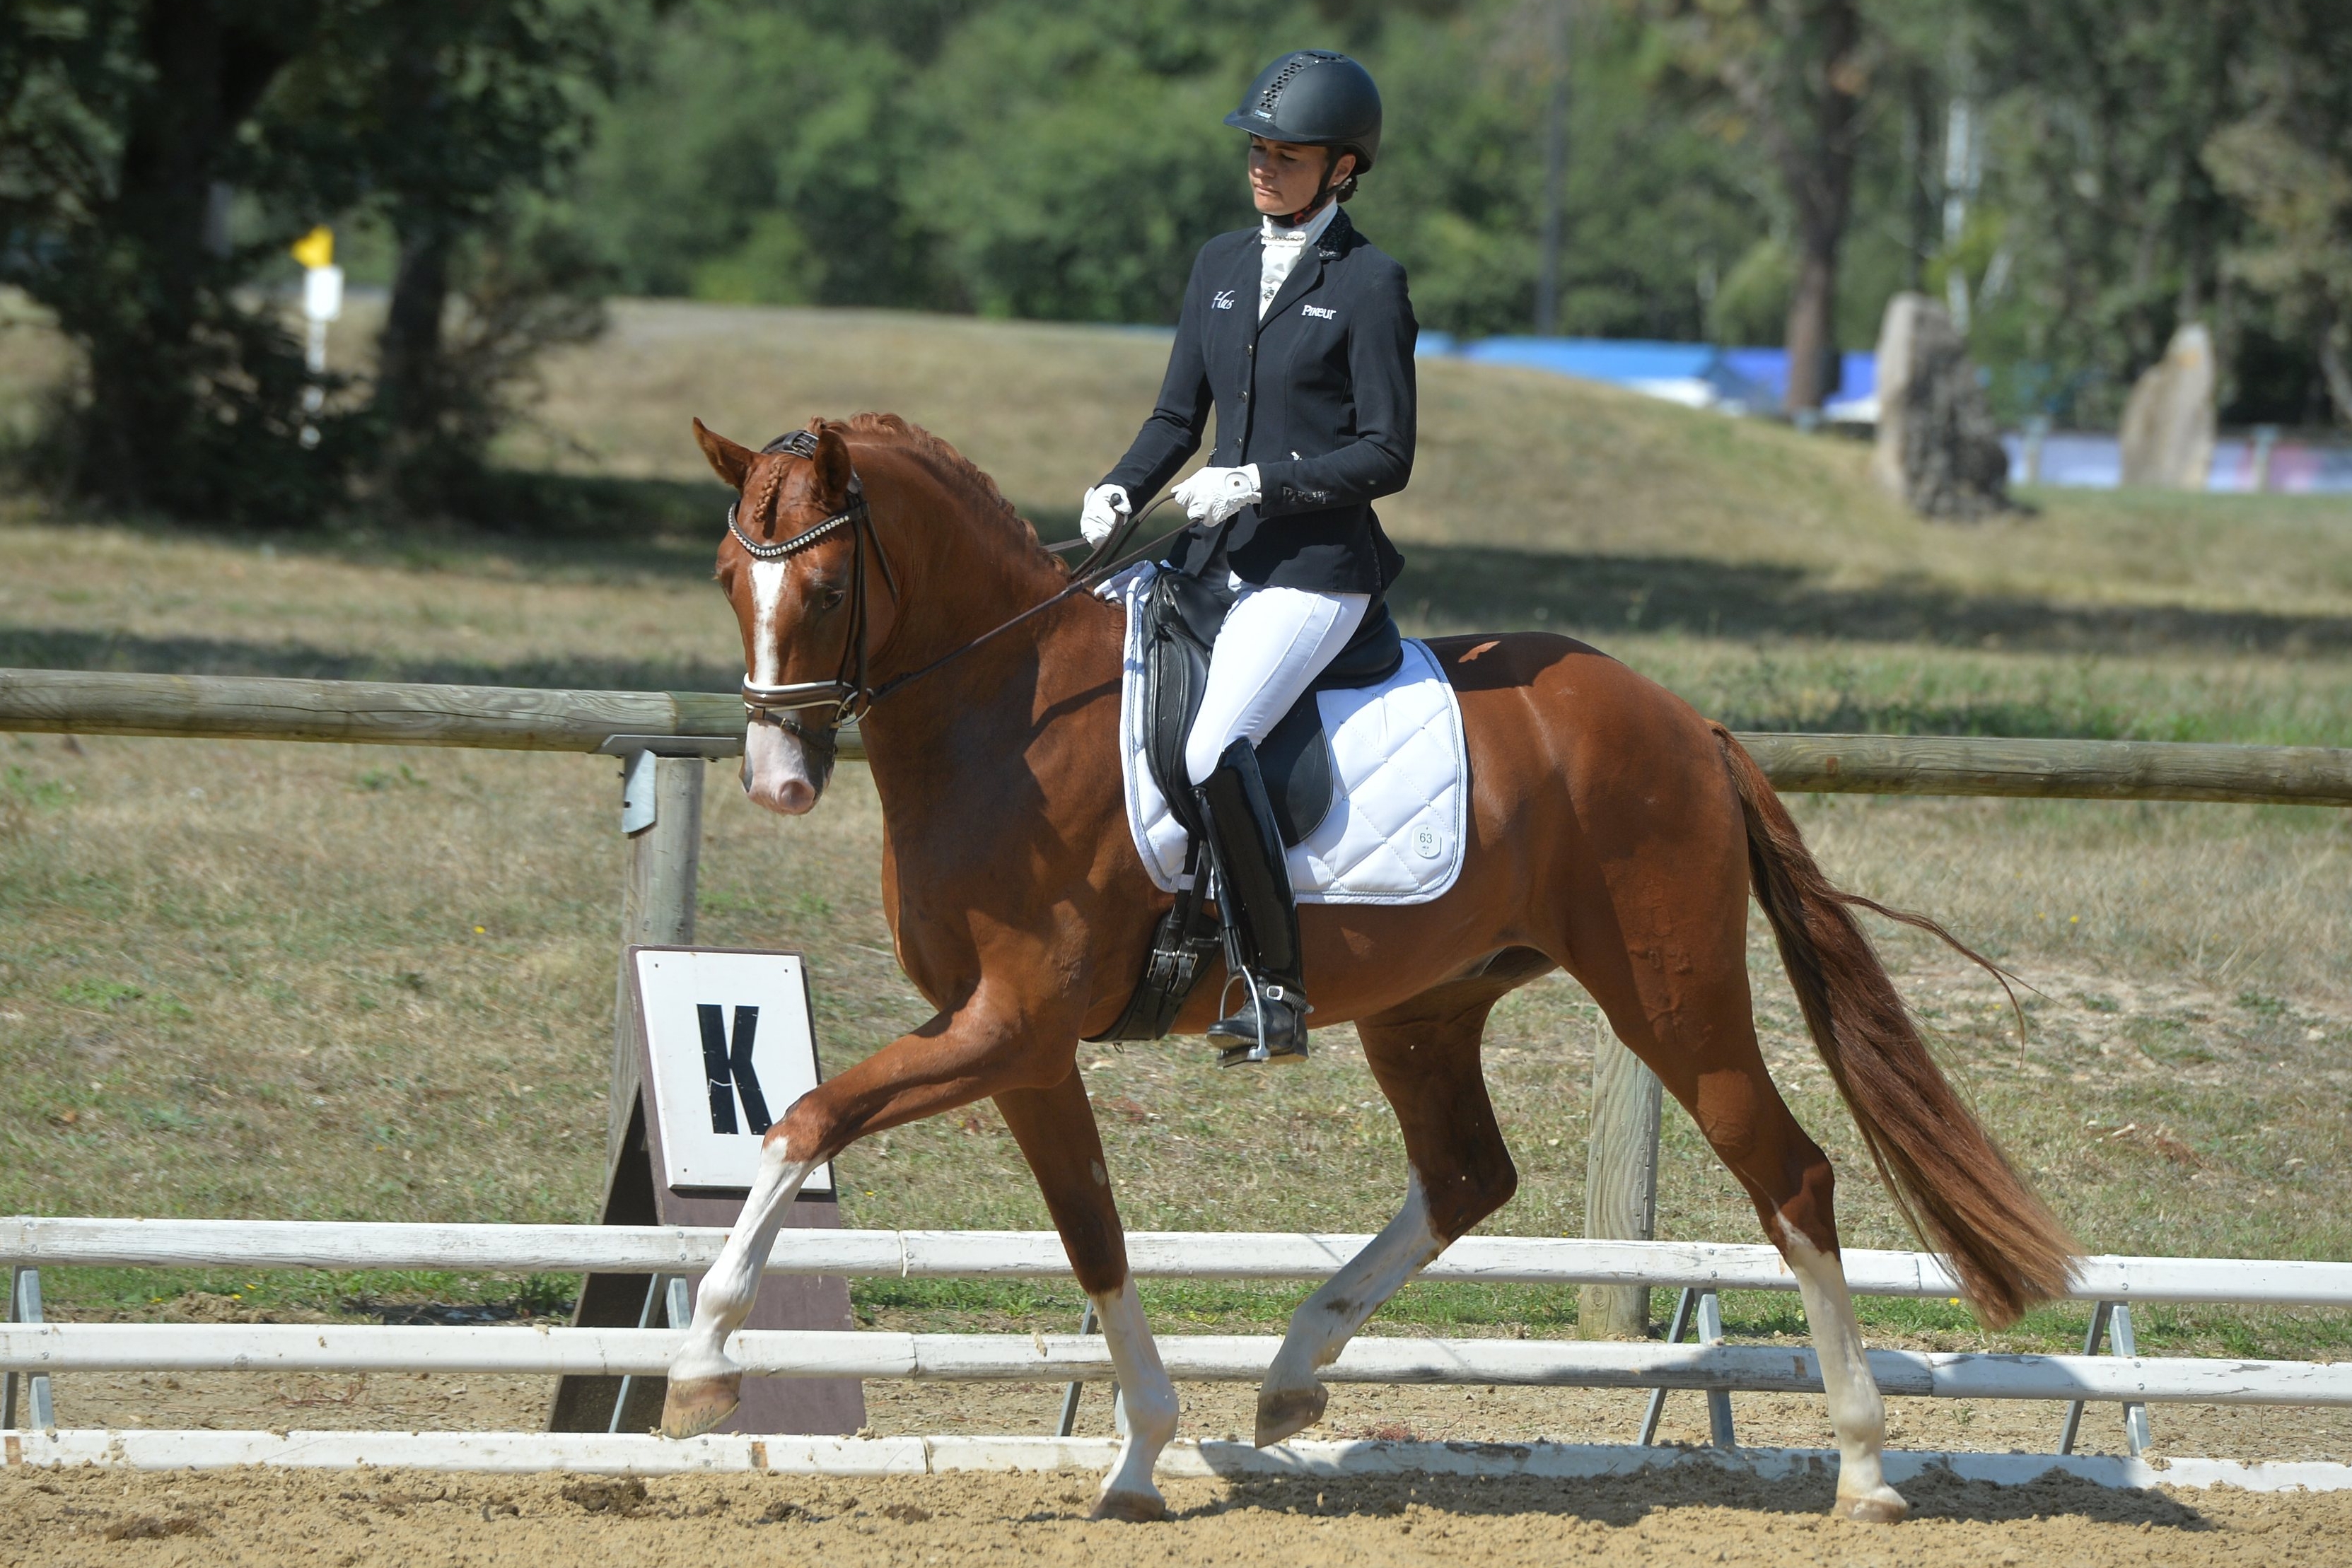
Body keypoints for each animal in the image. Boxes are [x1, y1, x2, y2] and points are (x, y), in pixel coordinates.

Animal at [658, 413, 2078, 1525]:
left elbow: (801, 1119)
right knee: (1465, 1174)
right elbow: (1091, 1232)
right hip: (1429, 1007)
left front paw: (703, 1363)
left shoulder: (1009, 1025)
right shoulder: (1019, 1045)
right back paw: (1291, 1375)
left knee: (1789, 1175)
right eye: (728, 577)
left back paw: (1866, 1470)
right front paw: (1140, 1454)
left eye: (825, 593)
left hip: (1672, 999)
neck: (1004, 712)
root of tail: (1688, 721)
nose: (777, 782)